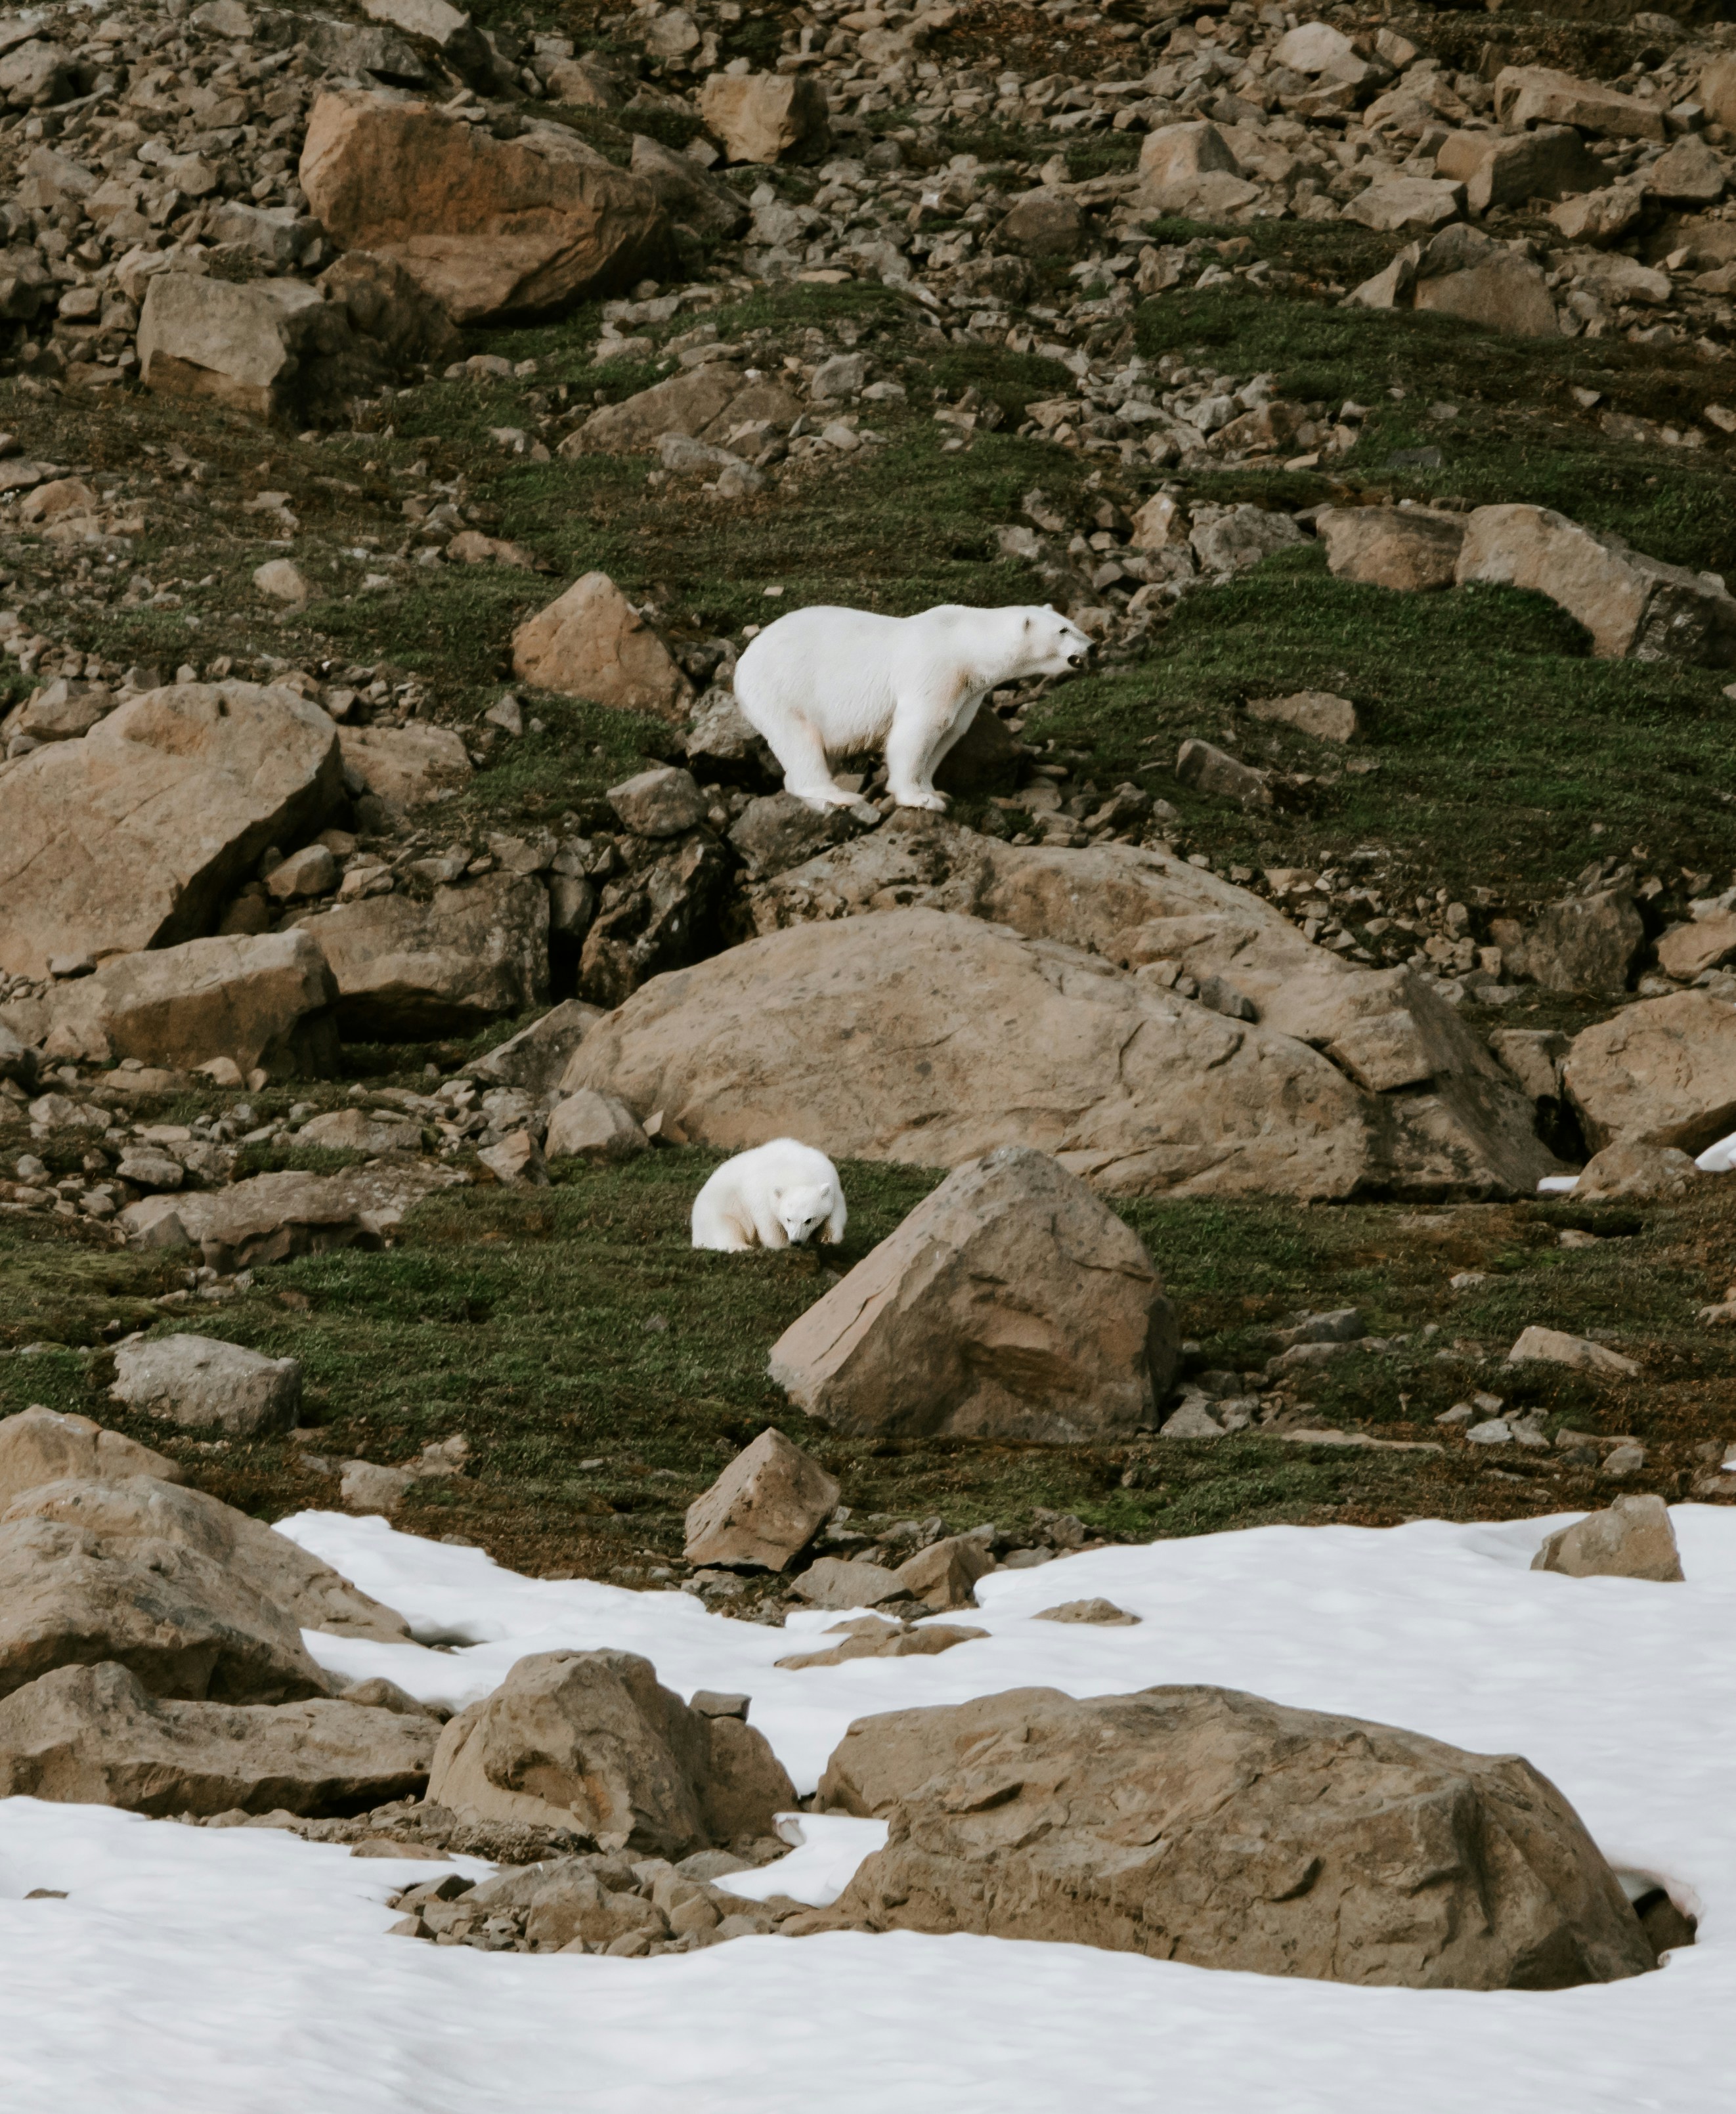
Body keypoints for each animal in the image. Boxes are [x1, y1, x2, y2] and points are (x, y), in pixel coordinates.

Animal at [690, 1139, 847, 1253]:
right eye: (788, 1219)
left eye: (808, 1220)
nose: (796, 1241)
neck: (799, 1172)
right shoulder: (763, 1195)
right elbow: (769, 1225)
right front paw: (783, 1245)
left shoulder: (831, 1180)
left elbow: (836, 1211)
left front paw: (828, 1238)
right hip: (720, 1208)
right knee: (726, 1227)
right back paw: (741, 1246)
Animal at [732, 601, 1093, 812]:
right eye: (1063, 630)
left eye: (1070, 621)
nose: (1092, 645)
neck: (964, 643)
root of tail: (743, 662)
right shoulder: (935, 671)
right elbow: (918, 731)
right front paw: (918, 799)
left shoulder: (966, 691)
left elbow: (948, 733)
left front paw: (936, 793)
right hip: (784, 689)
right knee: (800, 739)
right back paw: (839, 796)